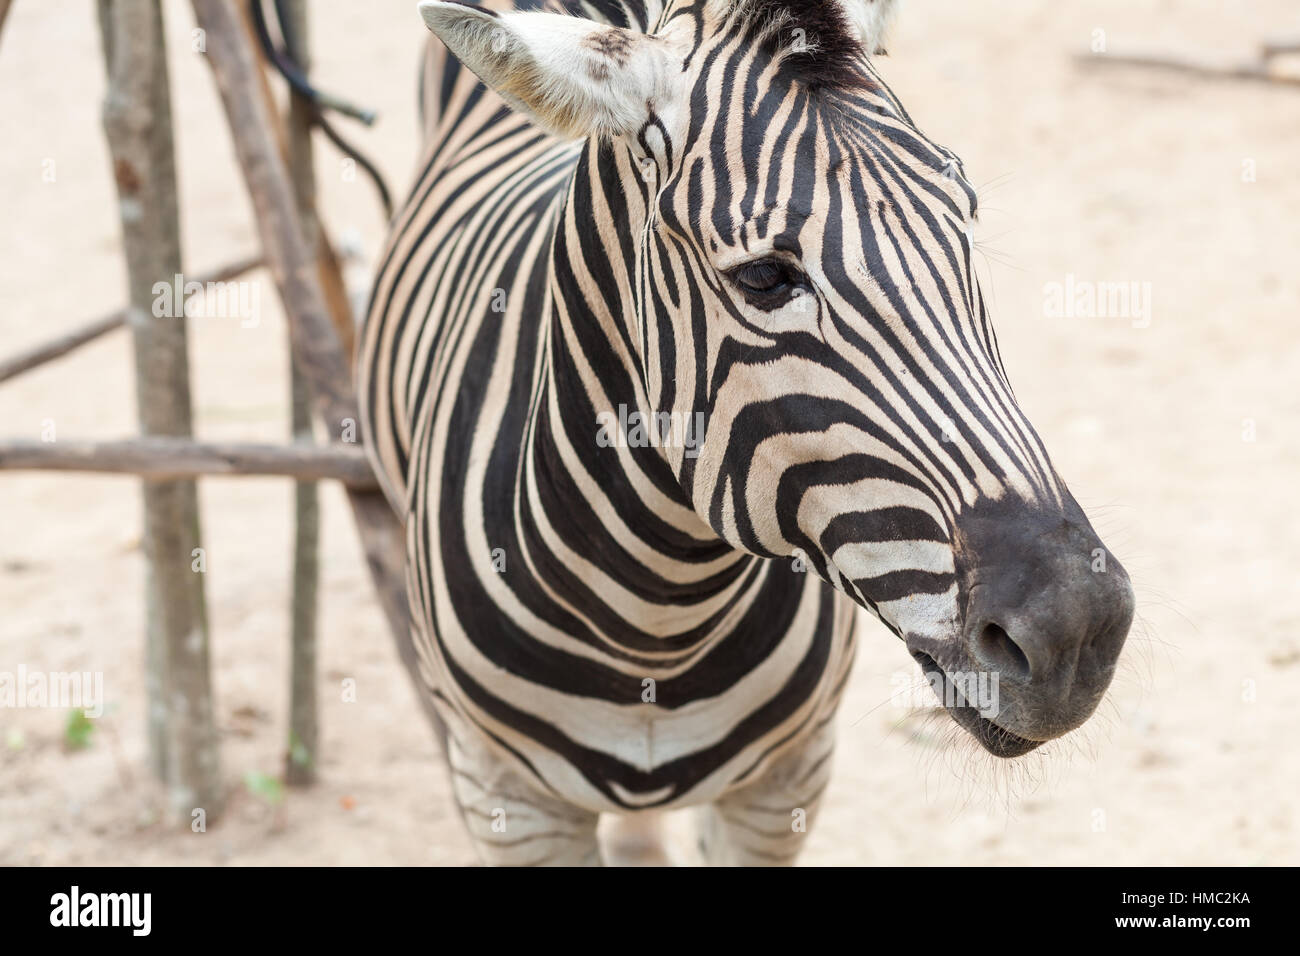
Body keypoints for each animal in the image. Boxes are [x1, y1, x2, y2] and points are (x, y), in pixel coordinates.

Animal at [358, 0, 1135, 865]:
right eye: (764, 278)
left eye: (964, 220)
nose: (1078, 631)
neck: (657, 620)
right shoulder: (508, 802)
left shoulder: (785, 782)